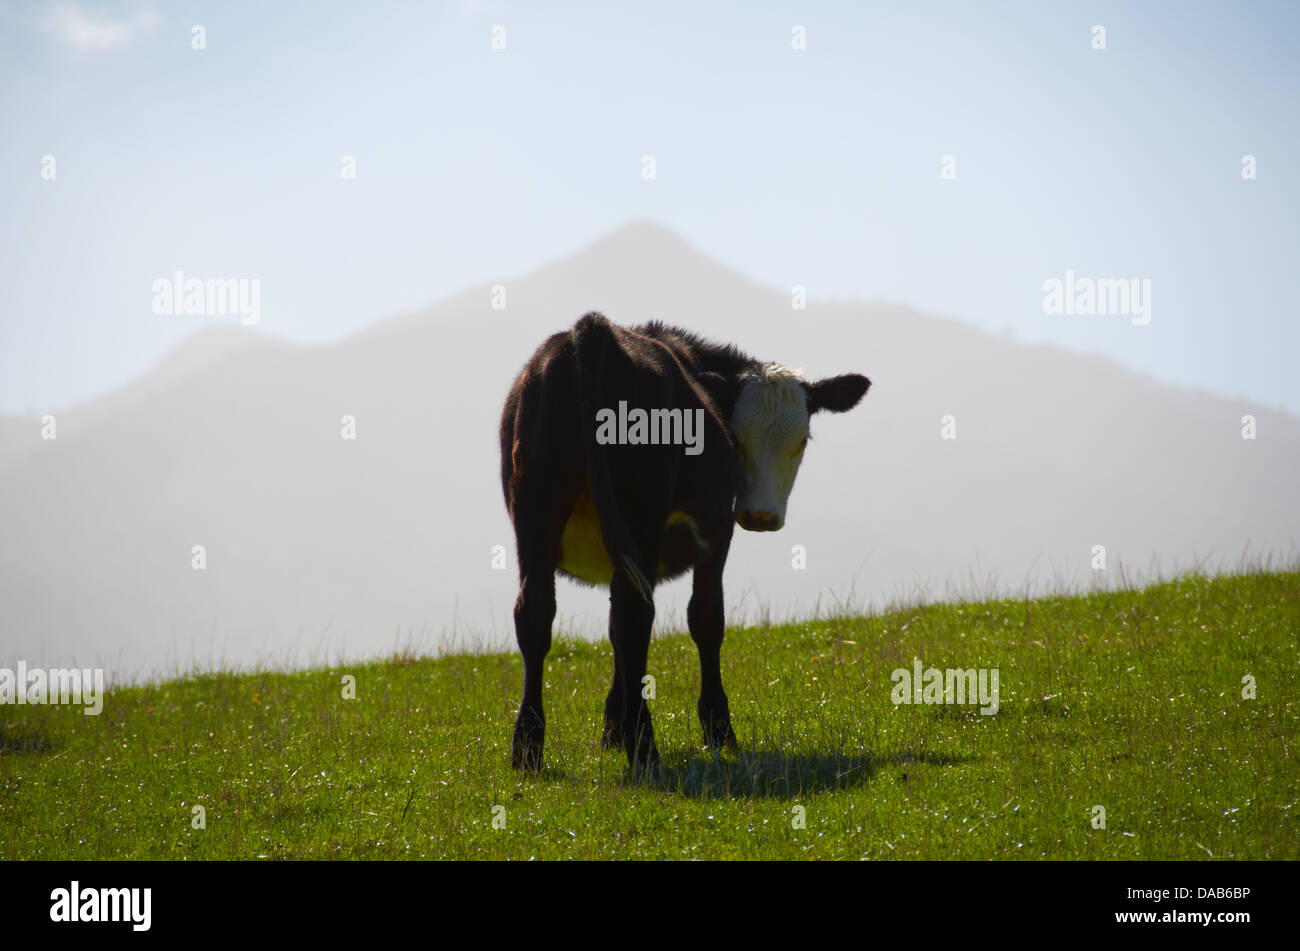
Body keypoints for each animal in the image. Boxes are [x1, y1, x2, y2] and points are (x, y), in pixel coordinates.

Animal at [499, 312, 870, 770]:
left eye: (801, 441)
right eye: (736, 440)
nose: (761, 516)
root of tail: (593, 330)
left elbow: (613, 636)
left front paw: (611, 731)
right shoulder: (718, 527)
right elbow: (706, 619)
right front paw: (719, 731)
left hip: (536, 510)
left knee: (537, 611)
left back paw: (528, 749)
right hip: (639, 510)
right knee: (634, 615)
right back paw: (644, 747)